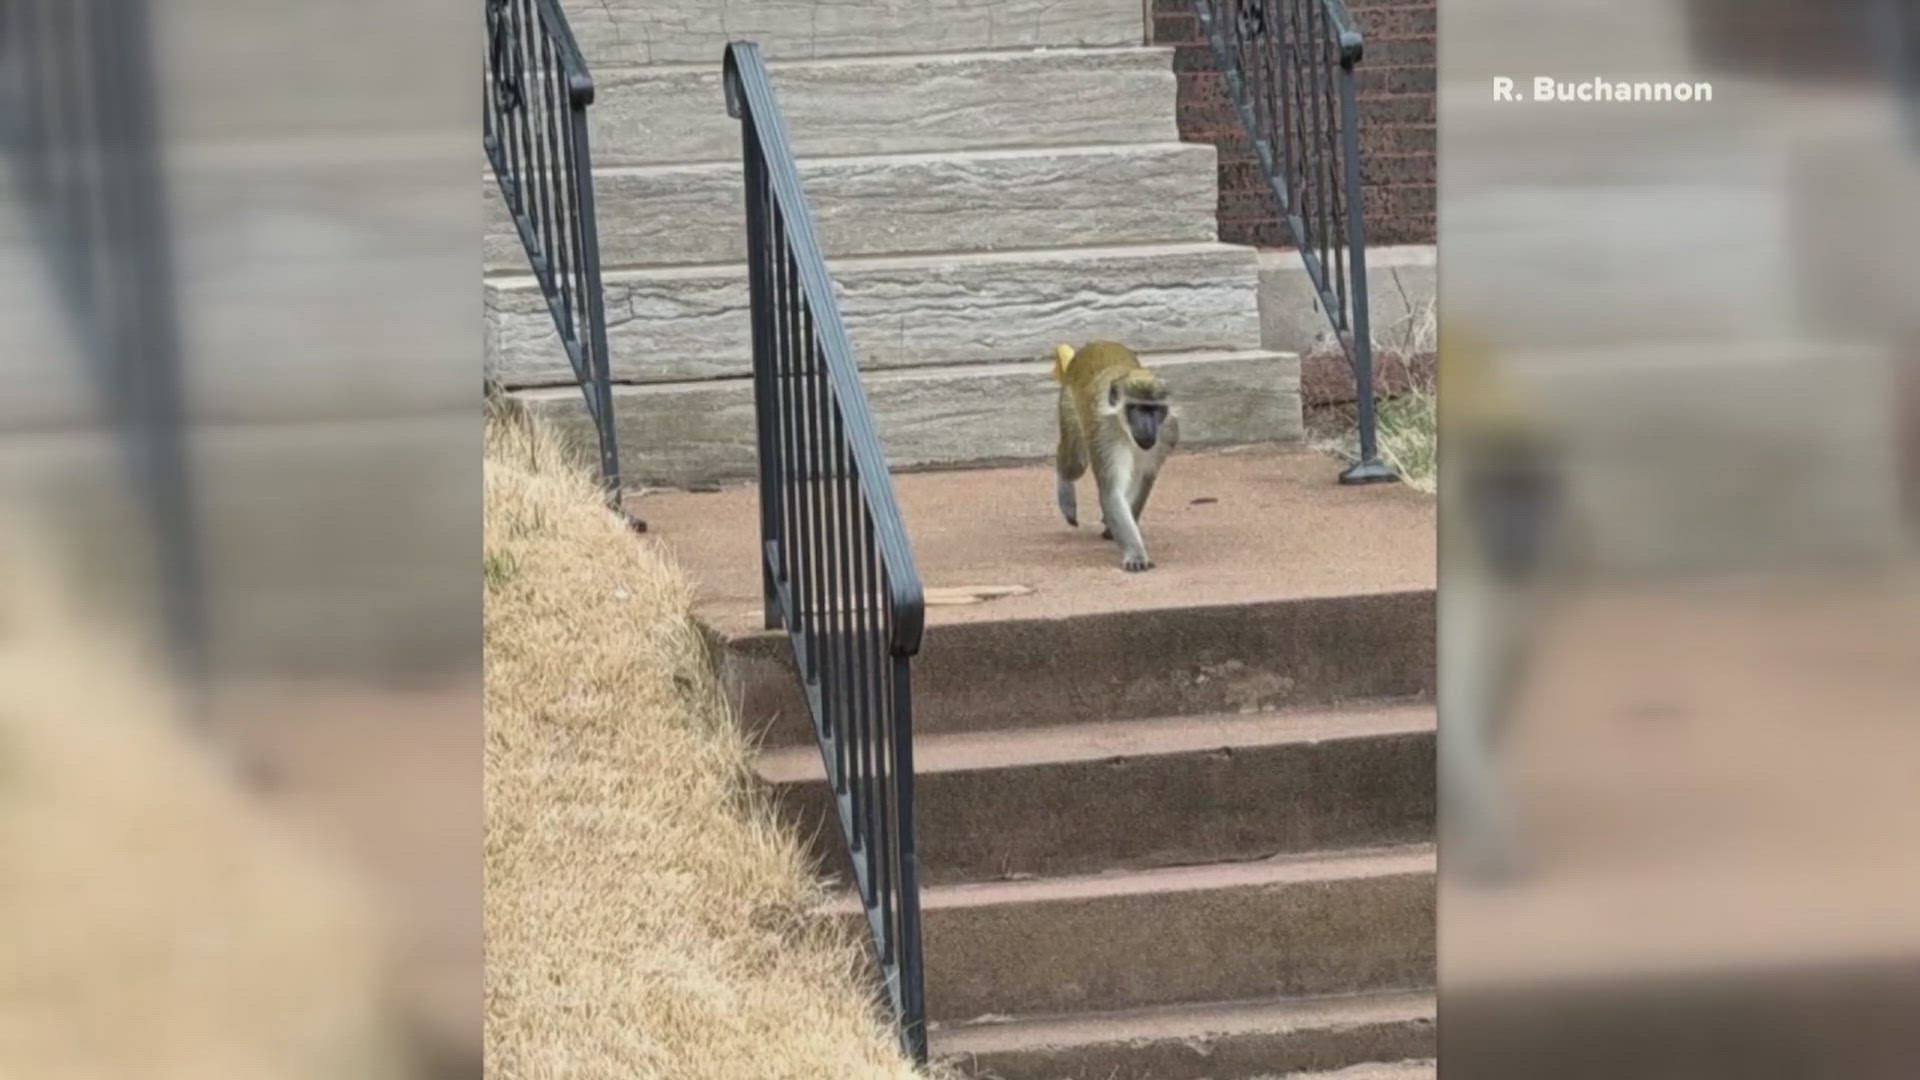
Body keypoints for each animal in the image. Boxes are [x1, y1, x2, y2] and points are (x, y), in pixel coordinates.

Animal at [1053, 341, 1179, 572]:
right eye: (1136, 409)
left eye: (1154, 409)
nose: (1147, 428)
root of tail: (1098, 343)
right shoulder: (1105, 434)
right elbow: (1111, 492)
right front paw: (1135, 554)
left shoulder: (1168, 432)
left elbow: (1145, 481)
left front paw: (1115, 530)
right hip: (1067, 404)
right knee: (1074, 463)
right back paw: (1065, 489)